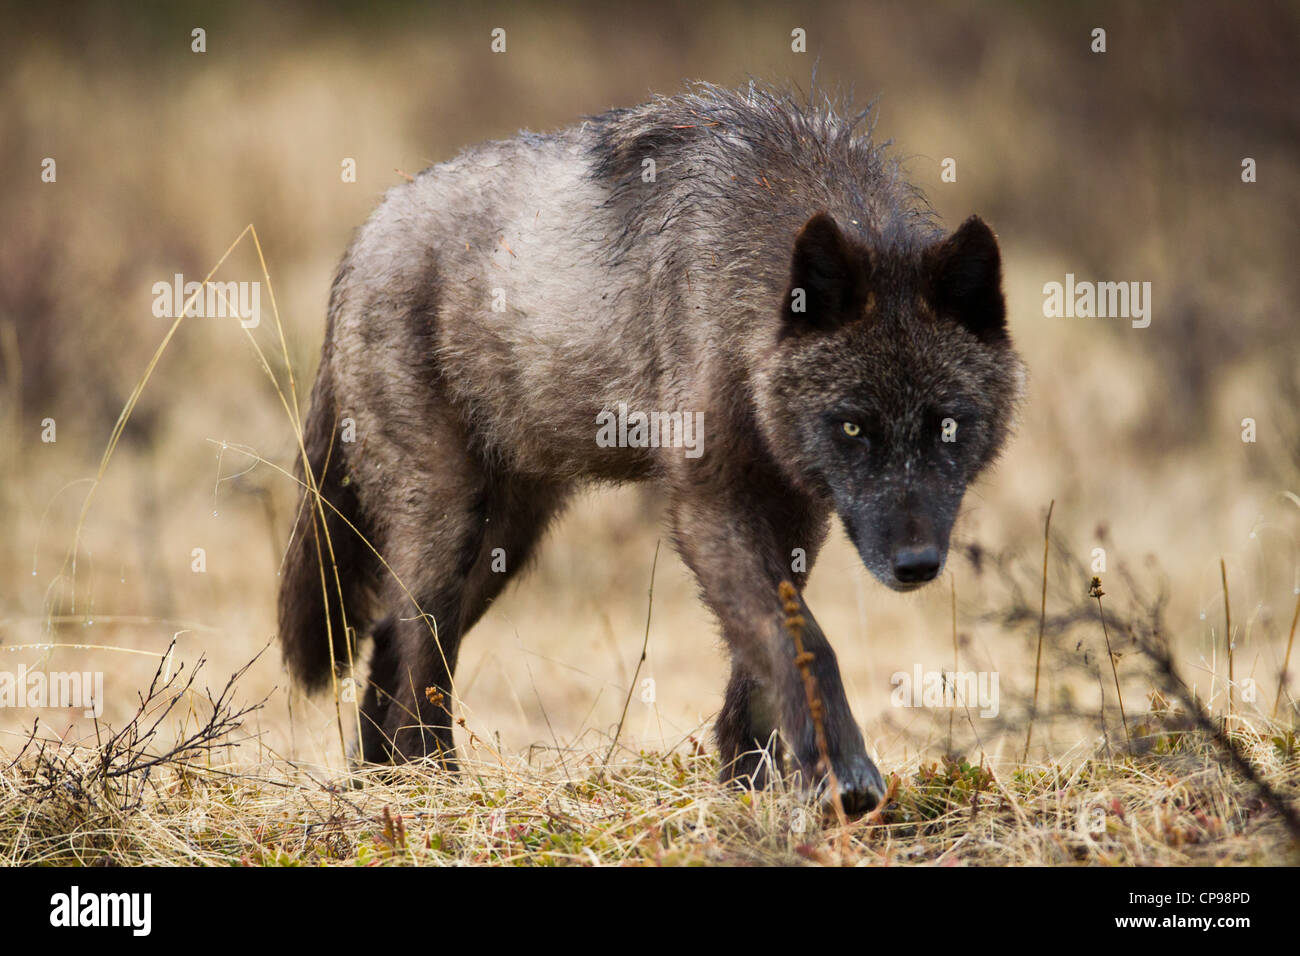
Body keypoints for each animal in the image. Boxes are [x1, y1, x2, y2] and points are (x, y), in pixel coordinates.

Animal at [278, 82, 1023, 813]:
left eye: (947, 426)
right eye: (852, 428)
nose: (915, 564)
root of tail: (367, 234)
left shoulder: (798, 510)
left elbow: (759, 655)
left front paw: (745, 781)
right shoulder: (707, 502)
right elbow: (799, 639)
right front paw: (840, 774)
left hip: (503, 545)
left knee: (388, 638)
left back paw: (381, 789)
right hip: (451, 529)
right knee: (416, 646)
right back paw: (437, 786)